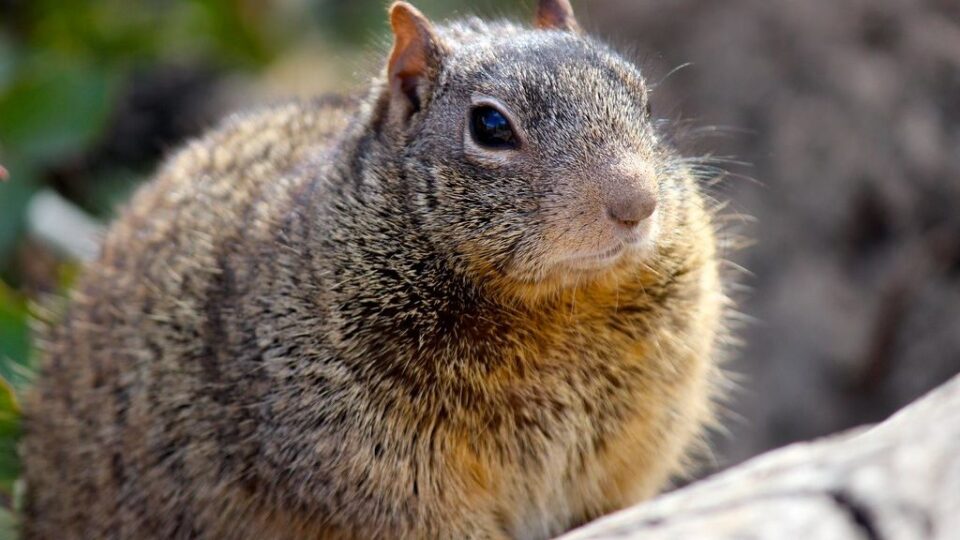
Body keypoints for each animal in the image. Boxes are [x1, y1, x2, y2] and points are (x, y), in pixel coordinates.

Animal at [21, 1, 728, 539]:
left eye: (640, 96)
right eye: (490, 125)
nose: (637, 204)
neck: (557, 306)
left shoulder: (638, 431)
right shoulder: (375, 459)